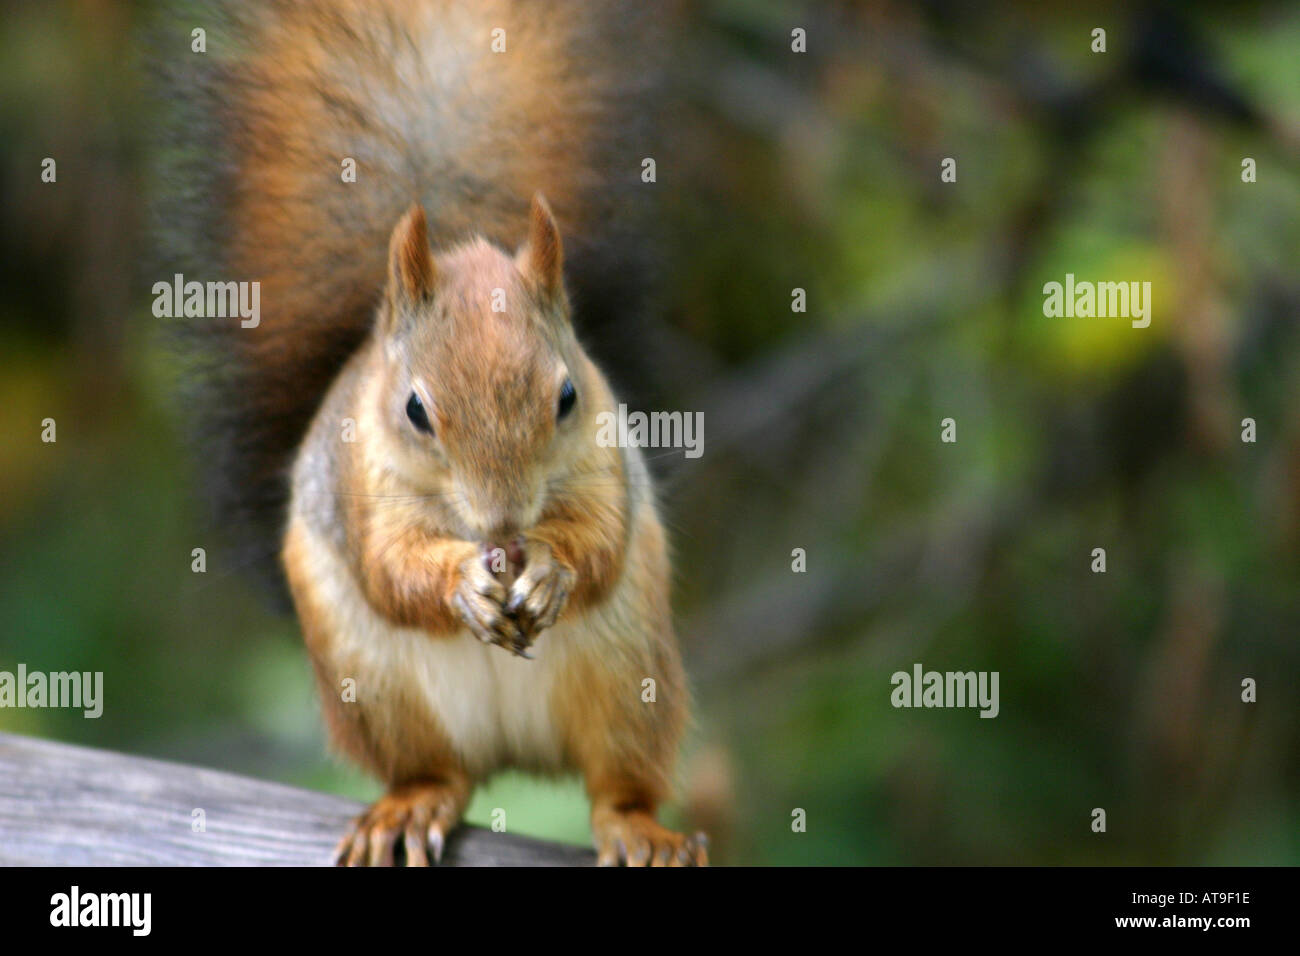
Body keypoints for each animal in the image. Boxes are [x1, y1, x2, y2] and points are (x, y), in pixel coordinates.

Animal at [156, 0, 703, 865]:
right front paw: (462, 584)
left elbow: (602, 541)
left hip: (631, 681)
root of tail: (513, 751)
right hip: (374, 688)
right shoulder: (362, 482)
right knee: (437, 773)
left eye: (568, 396)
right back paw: (410, 809)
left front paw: (550, 569)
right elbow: (390, 568)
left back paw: (640, 828)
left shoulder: (605, 463)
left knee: (618, 783)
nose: (505, 526)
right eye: (416, 410)